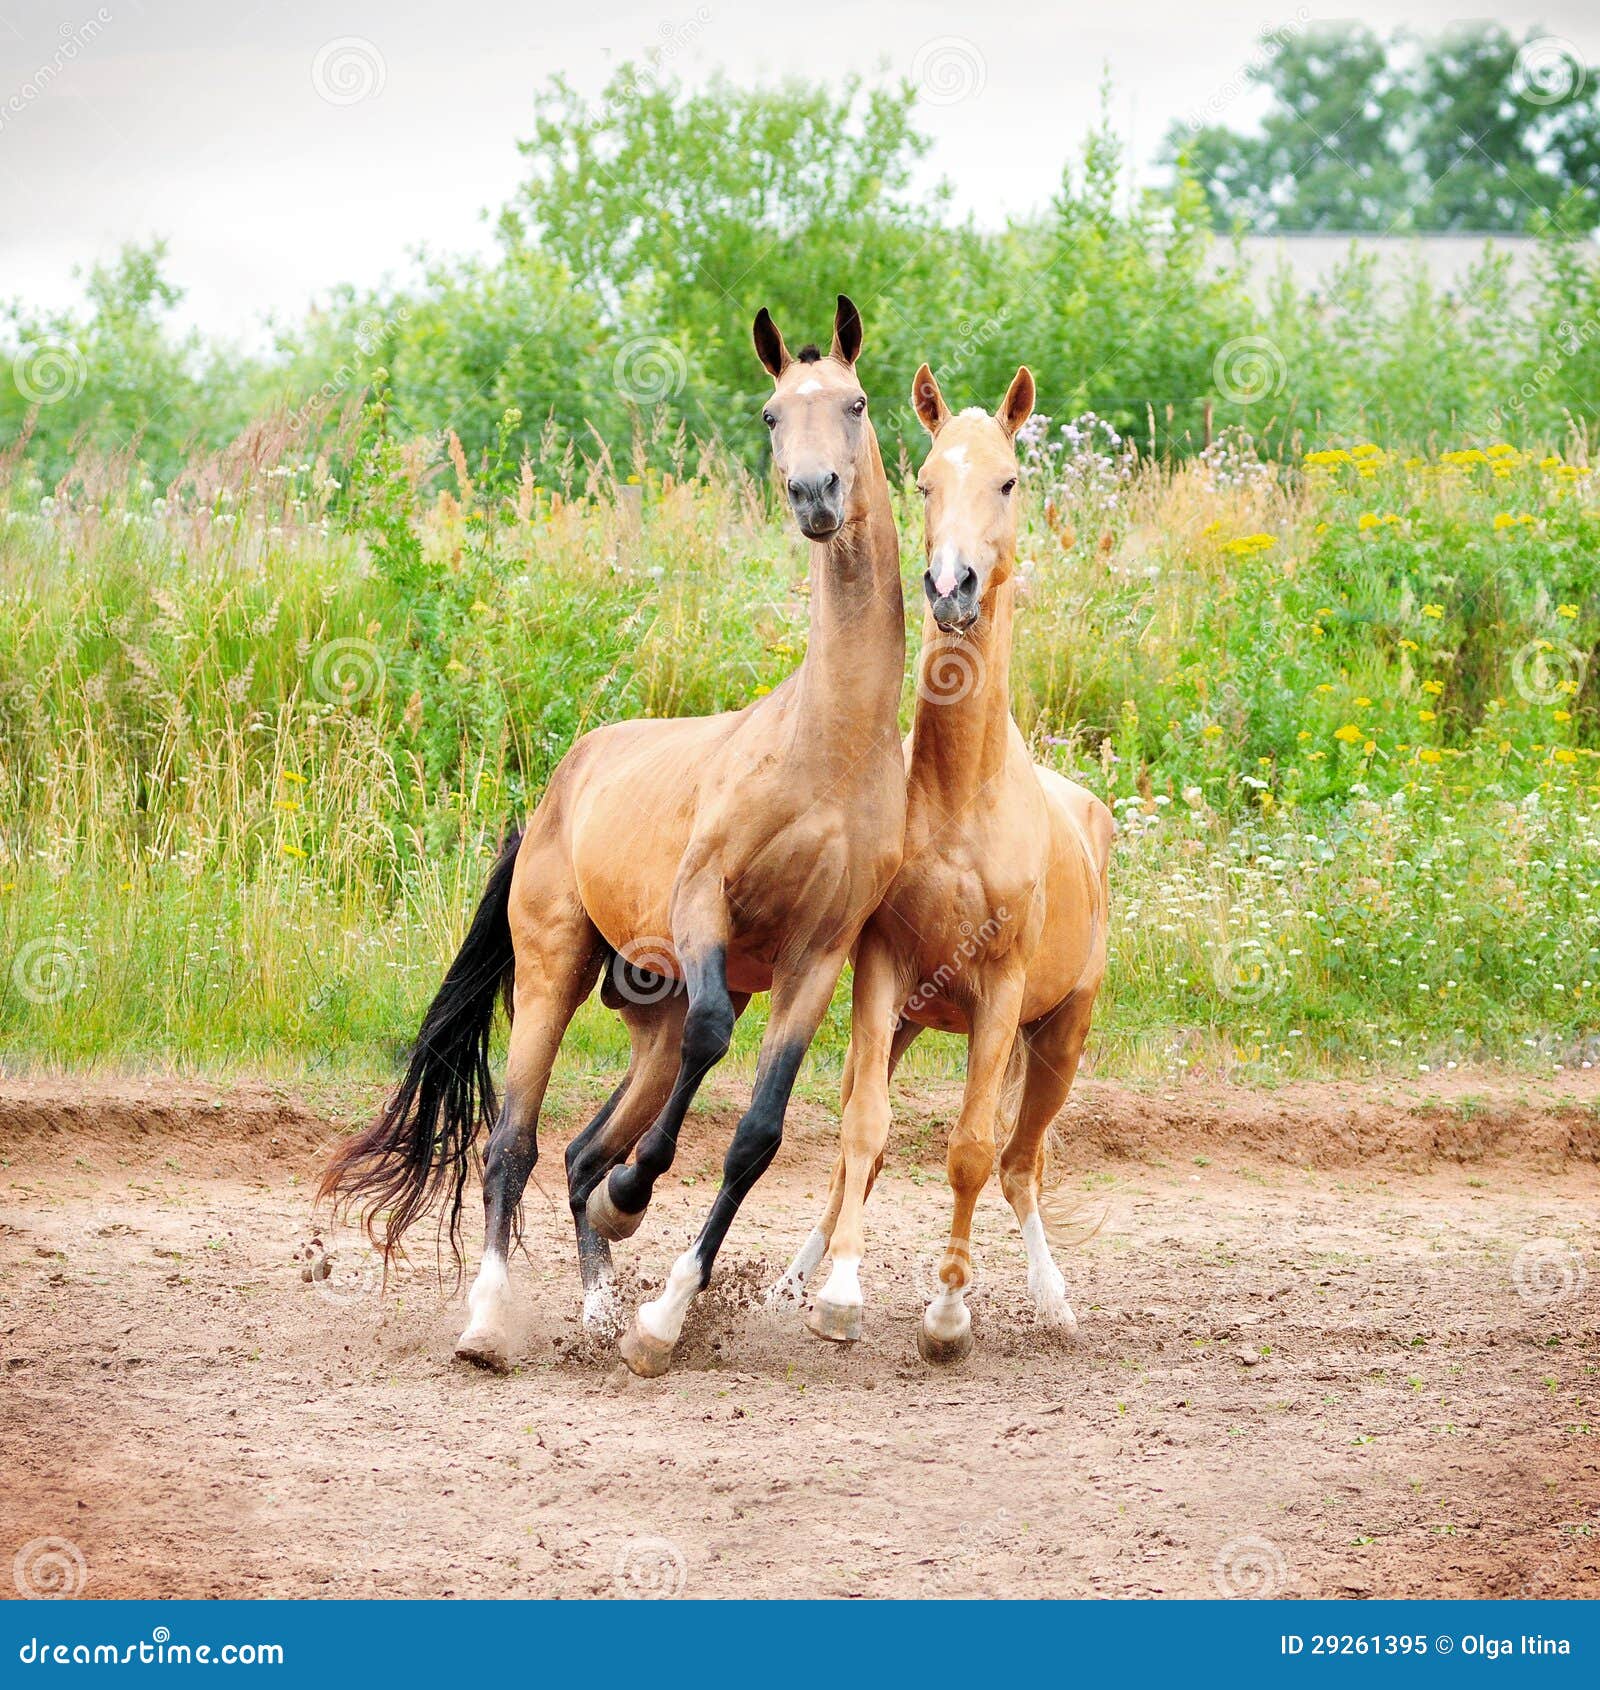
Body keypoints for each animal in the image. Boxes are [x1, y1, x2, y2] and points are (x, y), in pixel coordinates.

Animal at [319, 297, 908, 1379]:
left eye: (853, 403)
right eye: (771, 413)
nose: (814, 494)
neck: (827, 748)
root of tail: (556, 789)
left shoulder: (818, 954)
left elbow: (757, 1132)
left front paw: (659, 1317)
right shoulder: (704, 904)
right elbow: (716, 1040)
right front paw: (633, 1207)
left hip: (647, 1015)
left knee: (579, 1147)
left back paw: (599, 1305)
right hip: (554, 966)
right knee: (512, 1142)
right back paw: (487, 1323)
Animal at [768, 363, 1115, 1363]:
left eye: (1008, 479)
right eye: (923, 482)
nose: (951, 585)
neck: (963, 803)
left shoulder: (1000, 995)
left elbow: (967, 1151)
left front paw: (949, 1314)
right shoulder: (882, 971)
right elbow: (864, 1132)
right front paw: (836, 1294)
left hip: (1061, 1037)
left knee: (1020, 1162)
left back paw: (1052, 1300)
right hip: (915, 1022)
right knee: (880, 1142)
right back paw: (797, 1276)